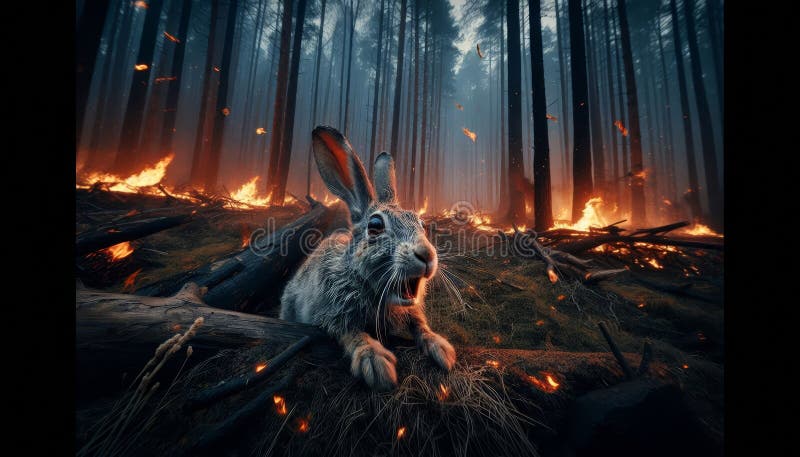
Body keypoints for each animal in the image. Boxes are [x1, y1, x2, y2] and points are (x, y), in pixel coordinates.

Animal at [280, 125, 456, 391]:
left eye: (422, 224)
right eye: (375, 226)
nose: (426, 255)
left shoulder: (412, 311)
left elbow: (420, 325)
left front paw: (442, 349)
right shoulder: (330, 311)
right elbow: (352, 332)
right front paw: (376, 362)